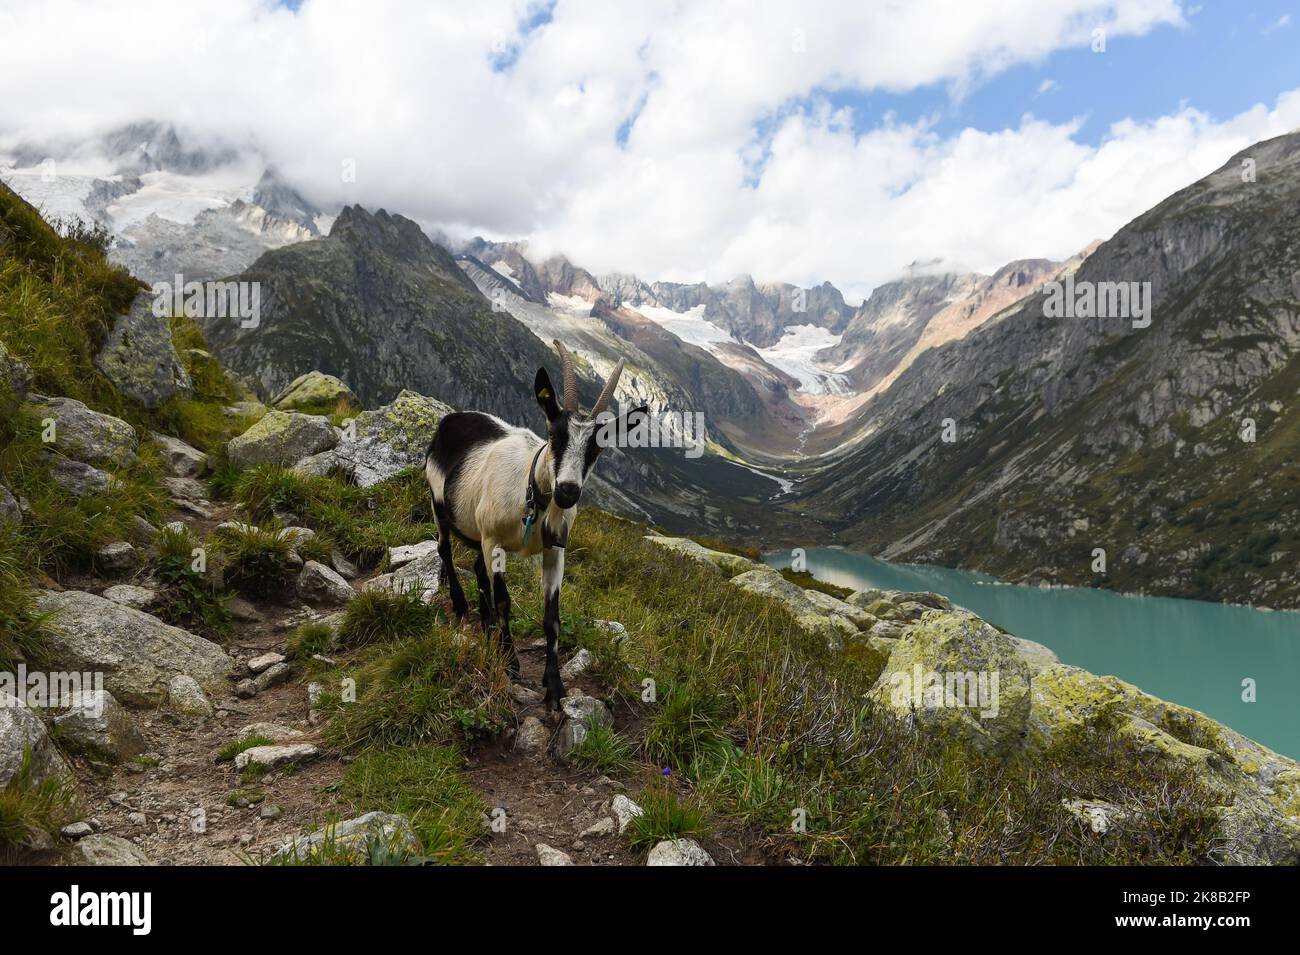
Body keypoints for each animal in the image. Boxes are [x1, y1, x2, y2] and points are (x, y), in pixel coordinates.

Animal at [425, 341, 647, 708]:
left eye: (597, 446)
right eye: (554, 434)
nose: (568, 491)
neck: (530, 495)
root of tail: (452, 418)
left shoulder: (555, 550)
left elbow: (552, 618)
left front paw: (554, 686)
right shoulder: (494, 541)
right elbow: (504, 600)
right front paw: (511, 663)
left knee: (477, 568)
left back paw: (486, 625)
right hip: (438, 503)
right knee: (445, 548)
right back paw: (461, 606)